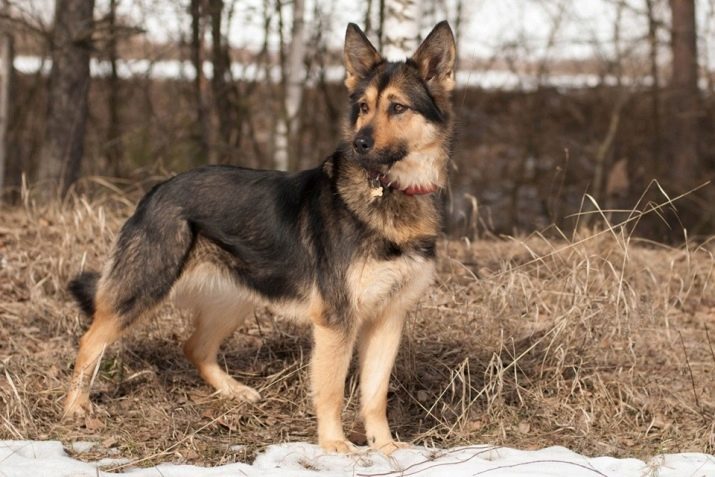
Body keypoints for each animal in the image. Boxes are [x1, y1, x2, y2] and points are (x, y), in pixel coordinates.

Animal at [64, 20, 456, 456]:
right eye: (364, 108)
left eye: (398, 108)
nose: (360, 144)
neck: (392, 190)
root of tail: (156, 191)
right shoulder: (336, 322)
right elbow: (332, 390)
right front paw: (335, 445)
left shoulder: (389, 318)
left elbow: (375, 394)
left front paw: (385, 448)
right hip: (145, 289)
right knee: (90, 339)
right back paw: (75, 408)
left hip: (236, 298)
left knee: (194, 347)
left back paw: (234, 392)